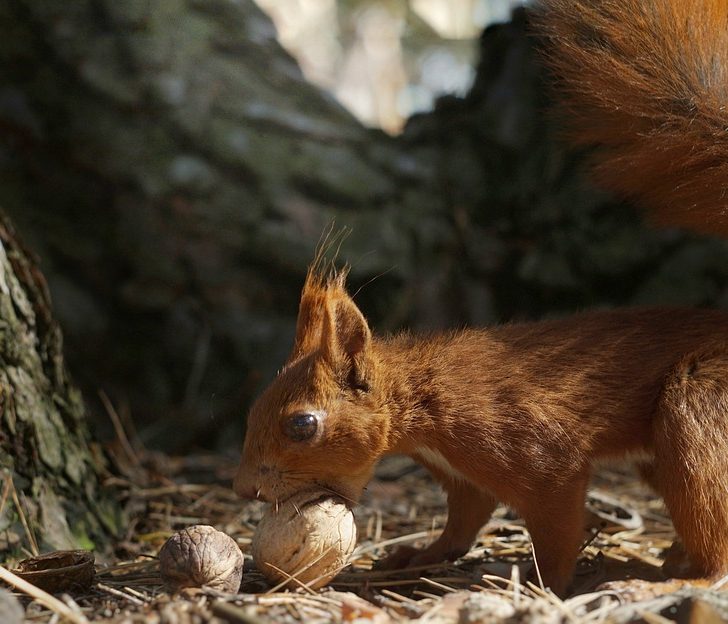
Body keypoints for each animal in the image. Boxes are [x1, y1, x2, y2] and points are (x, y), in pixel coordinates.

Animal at [234, 0, 728, 596]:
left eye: (302, 425)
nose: (243, 490)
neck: (421, 399)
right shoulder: (461, 474)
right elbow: (464, 520)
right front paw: (420, 555)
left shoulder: (530, 450)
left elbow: (557, 522)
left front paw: (546, 585)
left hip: (697, 407)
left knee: (712, 524)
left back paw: (680, 580)